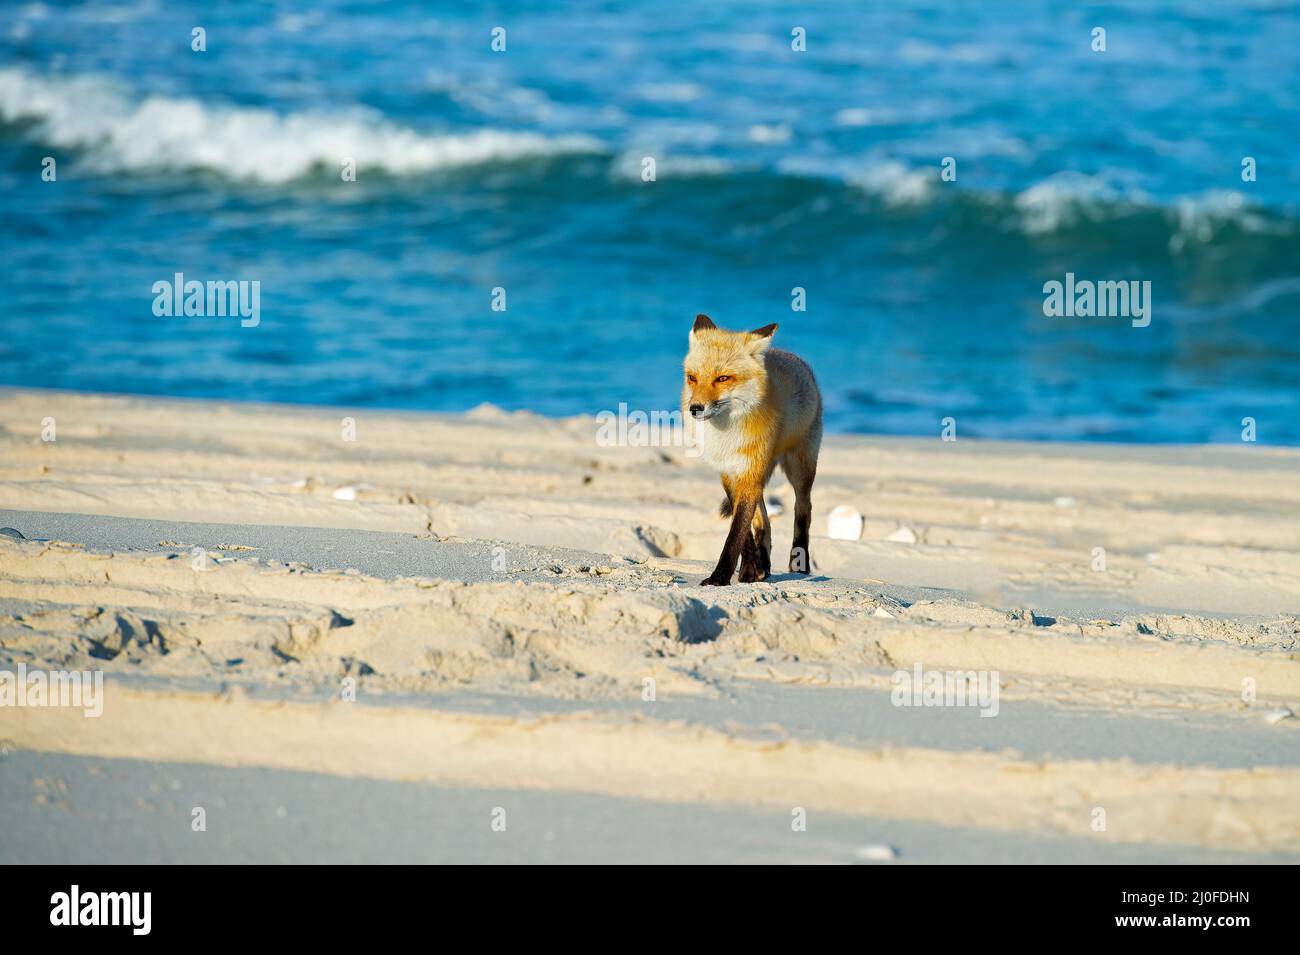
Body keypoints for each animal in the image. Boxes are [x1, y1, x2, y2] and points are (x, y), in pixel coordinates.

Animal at [682, 314, 822, 586]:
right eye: (692, 378)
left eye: (722, 378)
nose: (695, 408)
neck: (727, 436)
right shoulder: (729, 473)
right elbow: (745, 529)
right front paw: (748, 570)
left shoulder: (749, 473)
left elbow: (735, 532)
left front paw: (719, 577)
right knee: (764, 522)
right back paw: (763, 565)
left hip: (800, 470)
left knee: (804, 510)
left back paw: (799, 565)